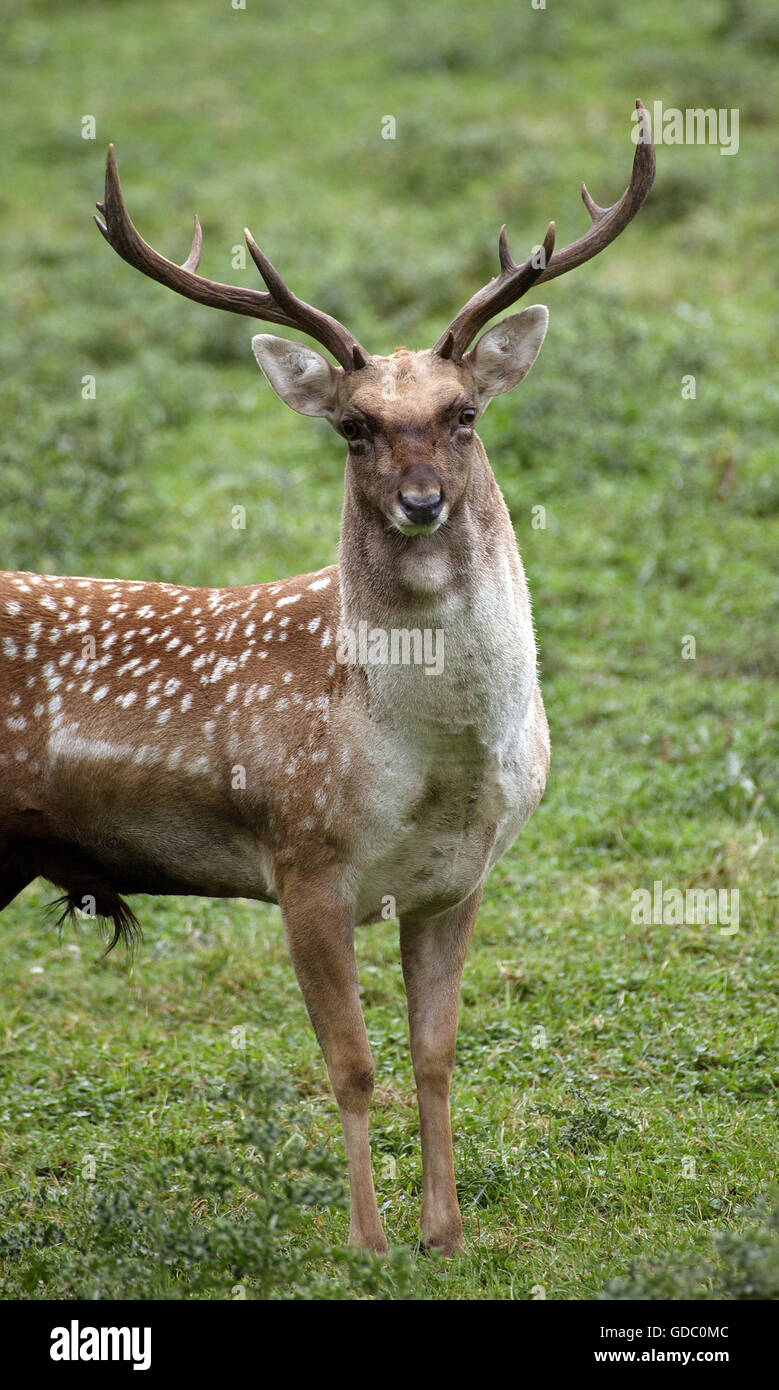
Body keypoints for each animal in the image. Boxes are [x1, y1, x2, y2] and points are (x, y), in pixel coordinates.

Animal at [1, 100, 651, 1262]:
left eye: (464, 413)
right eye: (353, 426)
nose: (423, 501)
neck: (432, 764)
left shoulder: (459, 879)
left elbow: (434, 1052)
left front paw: (444, 1231)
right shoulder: (301, 859)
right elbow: (350, 1066)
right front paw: (368, 1239)